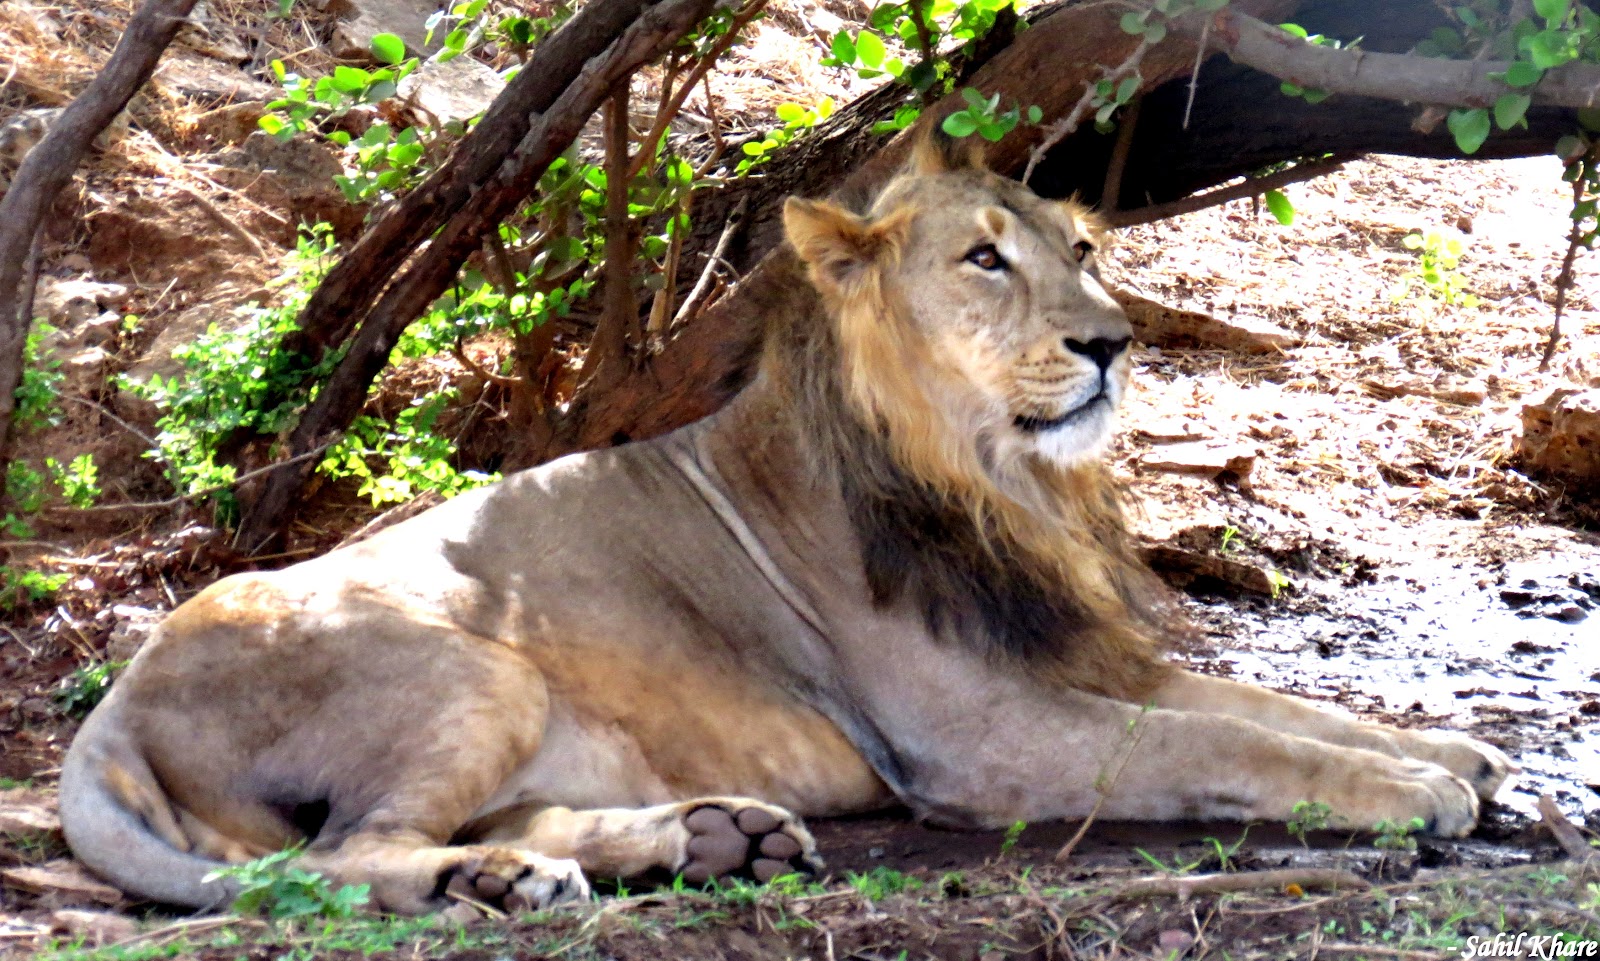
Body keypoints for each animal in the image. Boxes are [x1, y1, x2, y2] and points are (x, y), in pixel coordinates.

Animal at [60, 134, 1514, 914]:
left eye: (1082, 250)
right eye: (983, 260)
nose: (1112, 342)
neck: (1002, 482)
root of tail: (111, 706)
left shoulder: (1081, 655)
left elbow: (1275, 706)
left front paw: (1452, 748)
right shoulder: (981, 737)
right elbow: (1223, 743)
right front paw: (1412, 792)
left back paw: (701, 836)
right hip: (473, 664)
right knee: (354, 850)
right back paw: (515, 885)